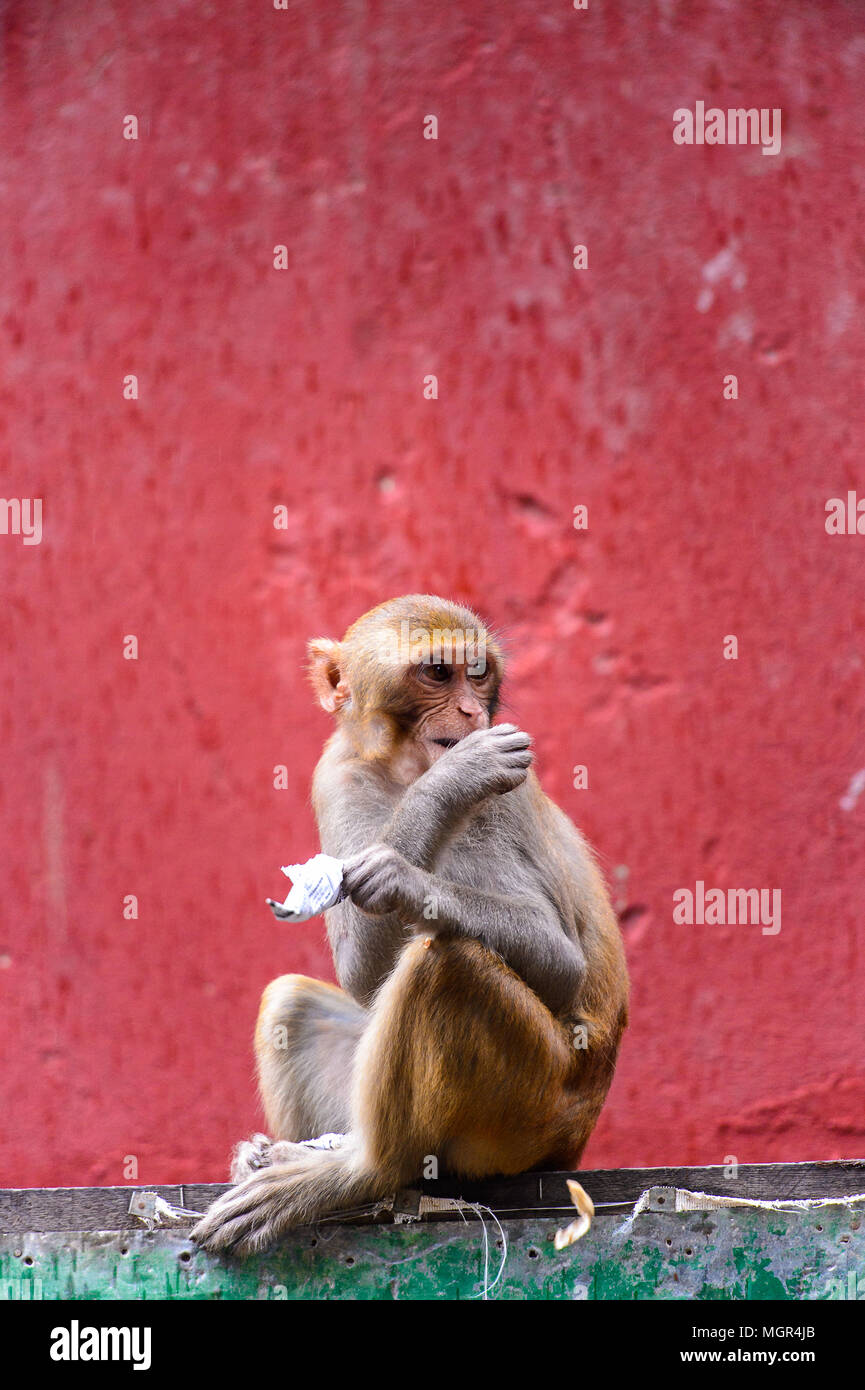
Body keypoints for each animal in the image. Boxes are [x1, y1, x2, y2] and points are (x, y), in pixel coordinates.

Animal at [193, 594, 628, 1255]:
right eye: (437, 673)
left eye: (477, 673)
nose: (472, 711)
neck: (403, 769)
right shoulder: (338, 775)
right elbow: (363, 974)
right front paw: (443, 788)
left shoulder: (508, 788)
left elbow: (561, 962)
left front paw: (411, 861)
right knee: (293, 1000)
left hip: (532, 1116)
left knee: (449, 966)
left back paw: (360, 1171)